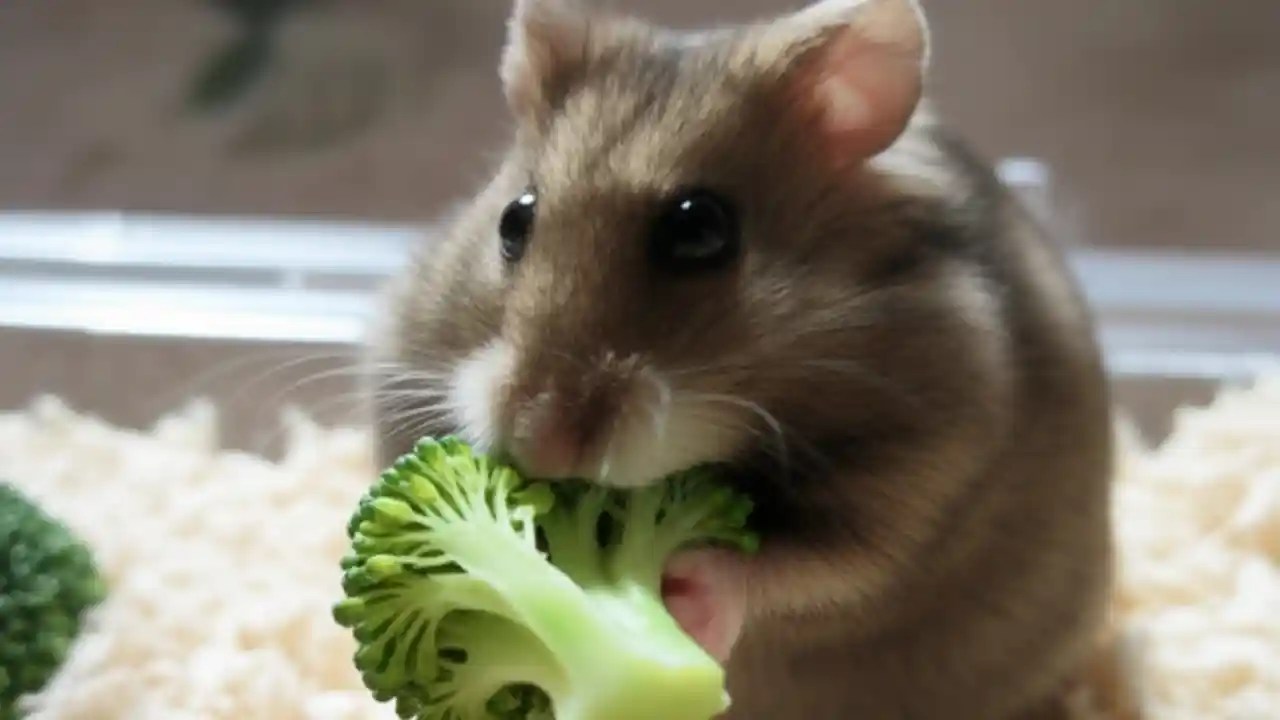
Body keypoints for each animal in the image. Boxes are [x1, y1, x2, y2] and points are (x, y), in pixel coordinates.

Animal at [365, 0, 1116, 718]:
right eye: (514, 220)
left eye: (701, 228)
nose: (540, 444)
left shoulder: (926, 468)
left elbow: (808, 565)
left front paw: (686, 597)